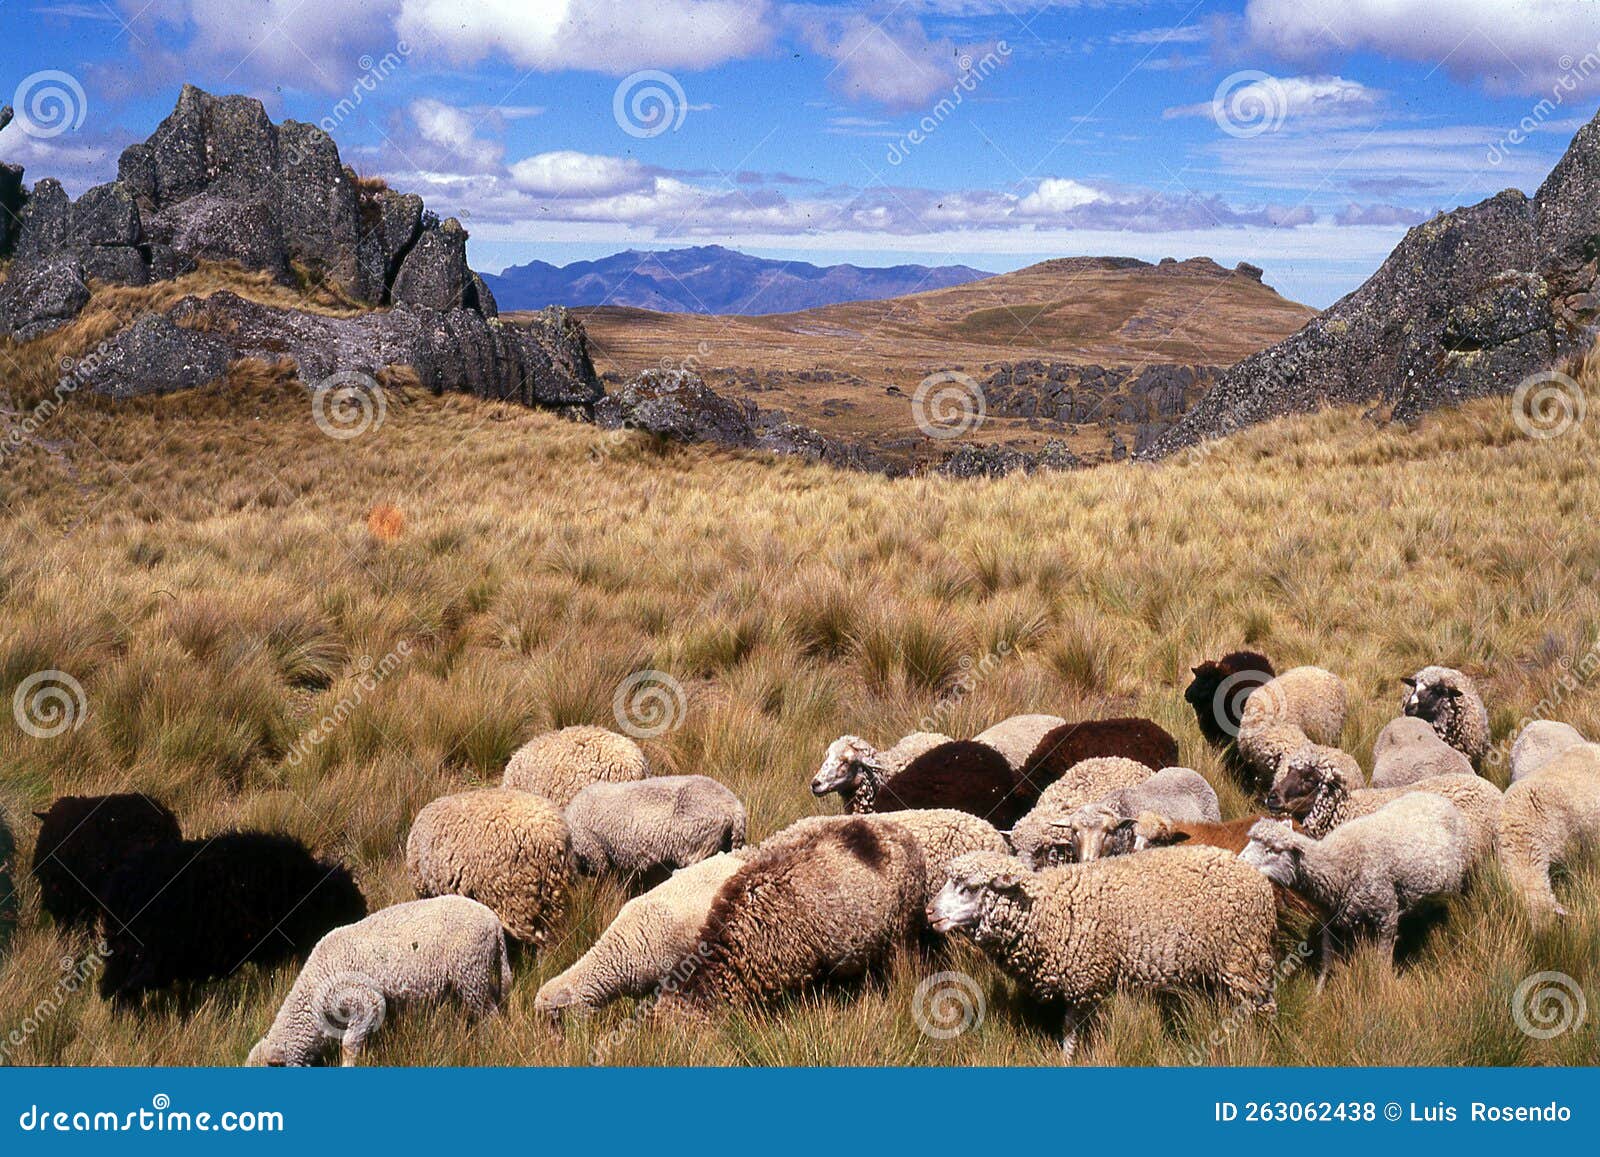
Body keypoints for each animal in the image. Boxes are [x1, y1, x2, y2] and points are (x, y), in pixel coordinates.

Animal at [246, 897, 512, 1066]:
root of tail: (493, 921)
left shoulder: (366, 1003)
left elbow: (349, 1045)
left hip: (470, 971)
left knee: (490, 1015)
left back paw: (489, 1044)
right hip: (477, 973)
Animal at [930, 847, 1278, 1060]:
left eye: (970, 888)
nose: (930, 912)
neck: (1049, 910)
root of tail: (1259, 880)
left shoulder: (1087, 979)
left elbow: (1072, 1029)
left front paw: (1067, 1058)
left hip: (1245, 959)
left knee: (1262, 1009)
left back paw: (1258, 1045)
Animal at [1241, 793, 1471, 988]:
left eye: (1272, 849)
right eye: (1251, 841)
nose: (1240, 862)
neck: (1340, 865)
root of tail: (1437, 798)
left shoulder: (1386, 914)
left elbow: (1381, 961)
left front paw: (1383, 986)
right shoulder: (1331, 920)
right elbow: (1327, 961)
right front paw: (1319, 993)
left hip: (1452, 887)